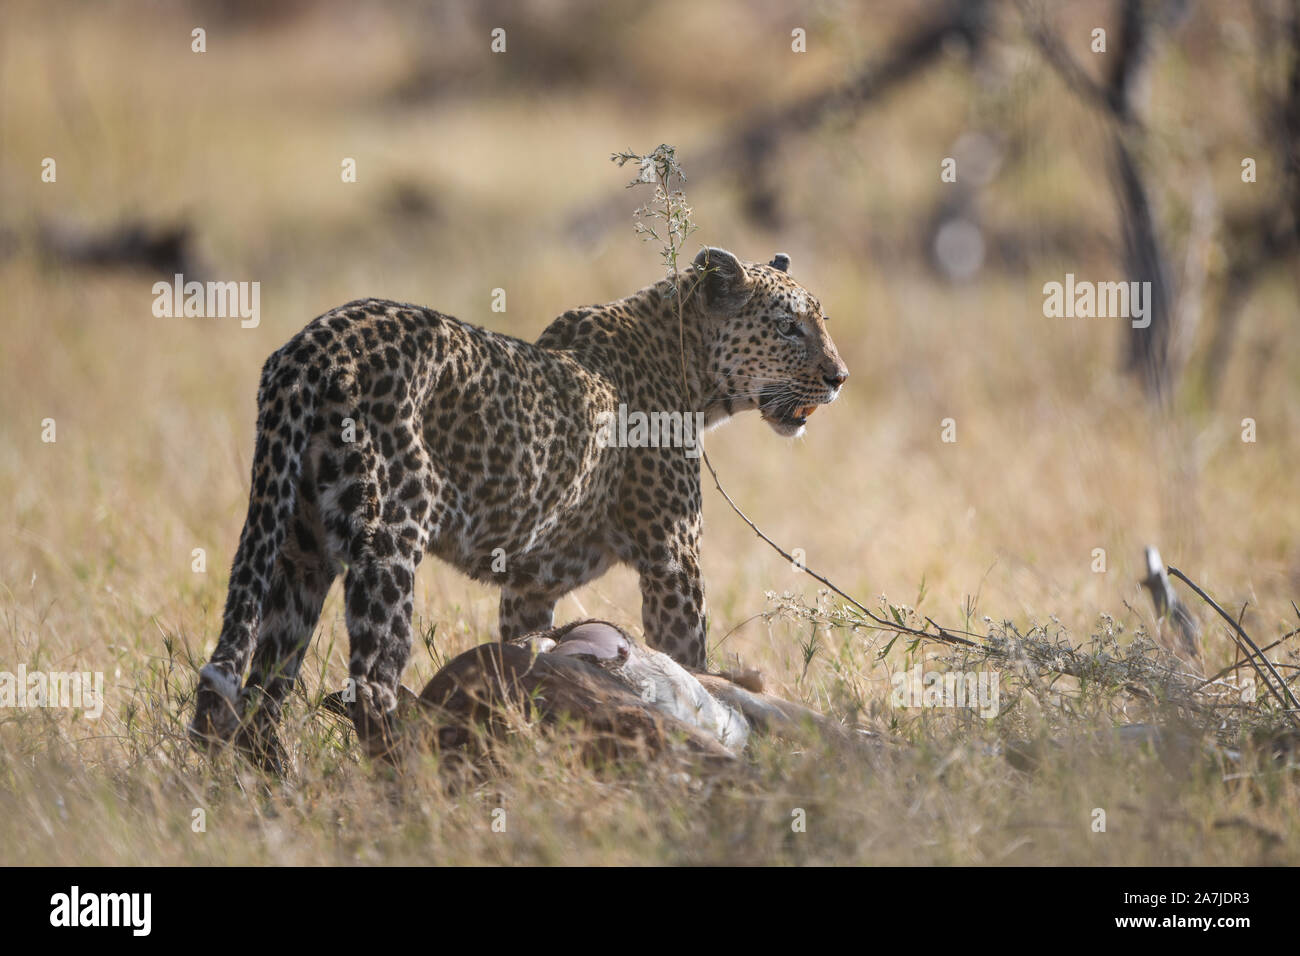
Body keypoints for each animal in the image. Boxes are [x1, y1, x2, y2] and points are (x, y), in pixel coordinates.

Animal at [188, 246, 848, 763]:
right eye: (789, 328)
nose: (839, 377)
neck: (691, 374)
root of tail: (308, 349)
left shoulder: (531, 584)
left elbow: (525, 650)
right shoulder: (672, 558)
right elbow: (690, 655)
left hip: (297, 548)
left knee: (263, 689)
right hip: (389, 542)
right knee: (370, 682)